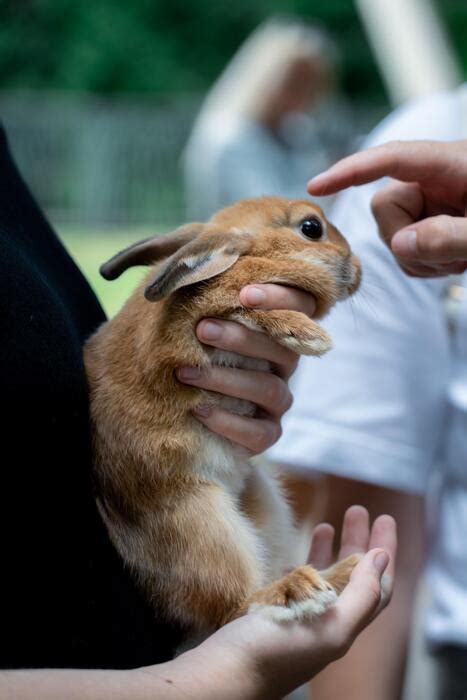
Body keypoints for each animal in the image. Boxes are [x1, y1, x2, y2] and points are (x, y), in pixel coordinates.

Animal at [84, 195, 362, 645]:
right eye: (311, 228)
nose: (358, 269)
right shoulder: (196, 320)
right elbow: (237, 290)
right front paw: (310, 336)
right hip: (203, 523)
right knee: (236, 606)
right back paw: (300, 590)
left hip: (261, 499)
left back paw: (340, 572)